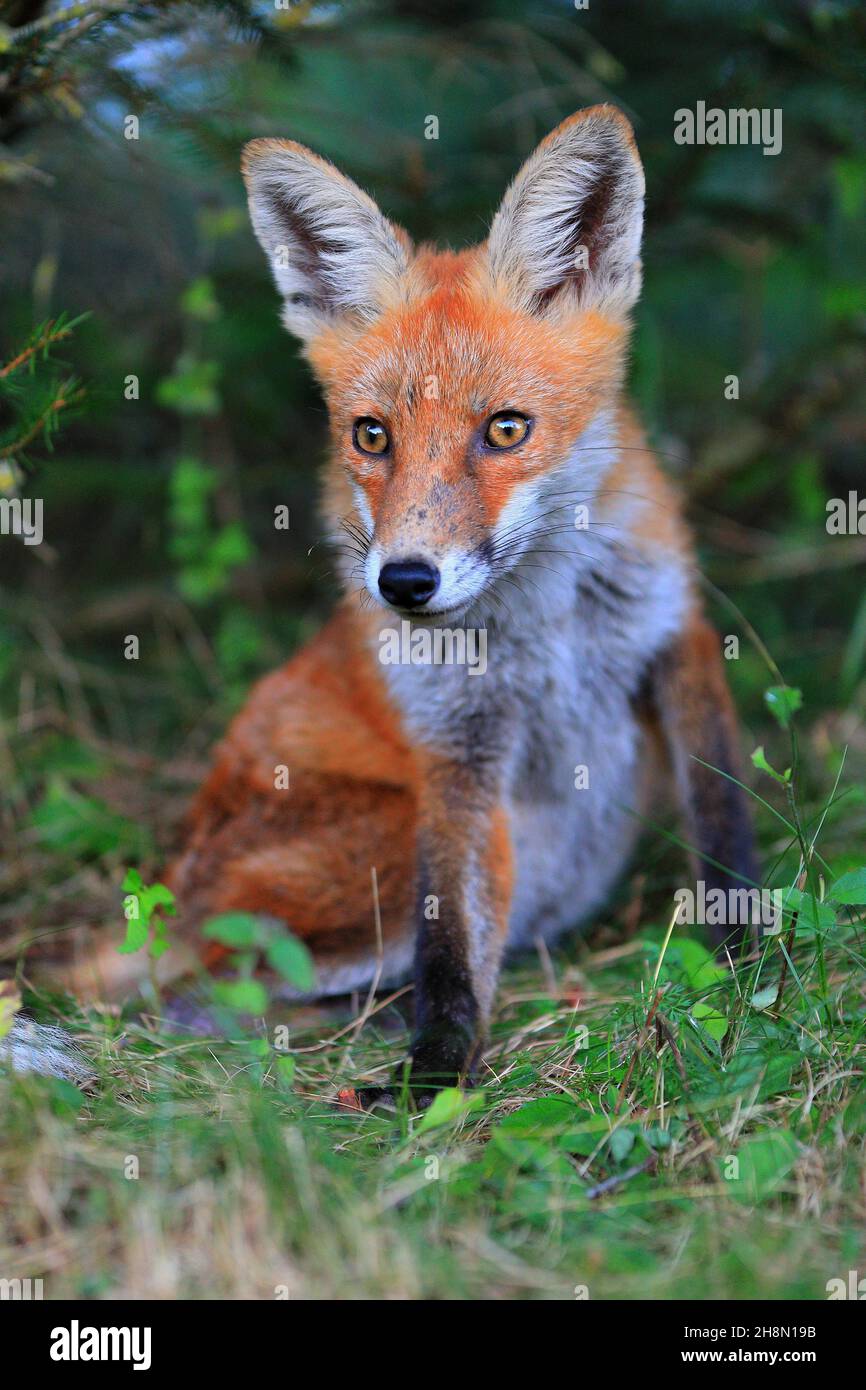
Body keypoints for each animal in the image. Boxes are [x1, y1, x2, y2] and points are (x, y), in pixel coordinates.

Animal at [3, 106, 757, 1102]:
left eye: (505, 429)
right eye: (372, 436)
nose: (404, 582)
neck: (546, 623)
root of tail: (171, 880)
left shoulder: (677, 637)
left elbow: (725, 828)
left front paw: (752, 971)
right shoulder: (453, 748)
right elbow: (451, 941)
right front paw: (436, 1071)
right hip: (390, 847)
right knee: (200, 994)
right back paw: (368, 1019)